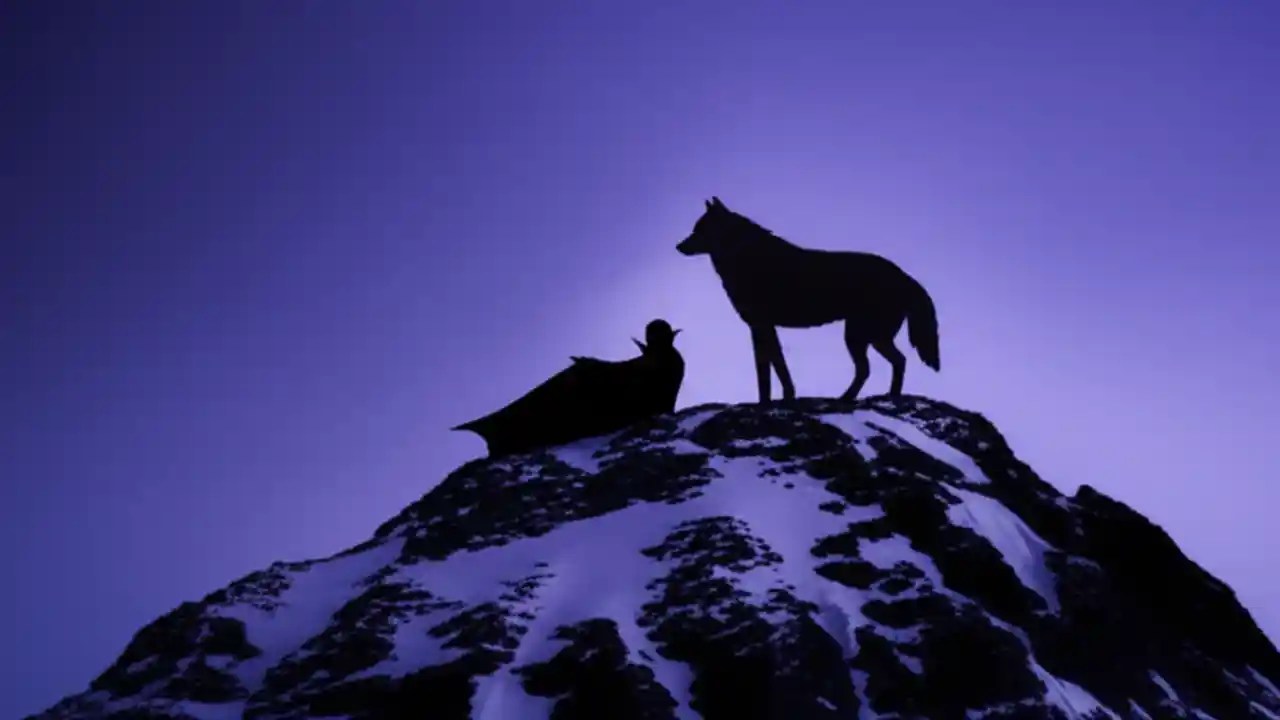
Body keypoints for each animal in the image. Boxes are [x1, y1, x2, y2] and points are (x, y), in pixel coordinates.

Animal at [676, 196, 939, 403]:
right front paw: (778, 399)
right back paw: (876, 397)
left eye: (700, 229)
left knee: (882, 365)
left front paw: (772, 402)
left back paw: (860, 398)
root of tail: (904, 275)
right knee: (887, 364)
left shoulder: (760, 325)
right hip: (864, 337)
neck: (745, 256)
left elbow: (769, 372)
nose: (678, 246)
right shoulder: (762, 328)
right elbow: (773, 370)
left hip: (862, 336)